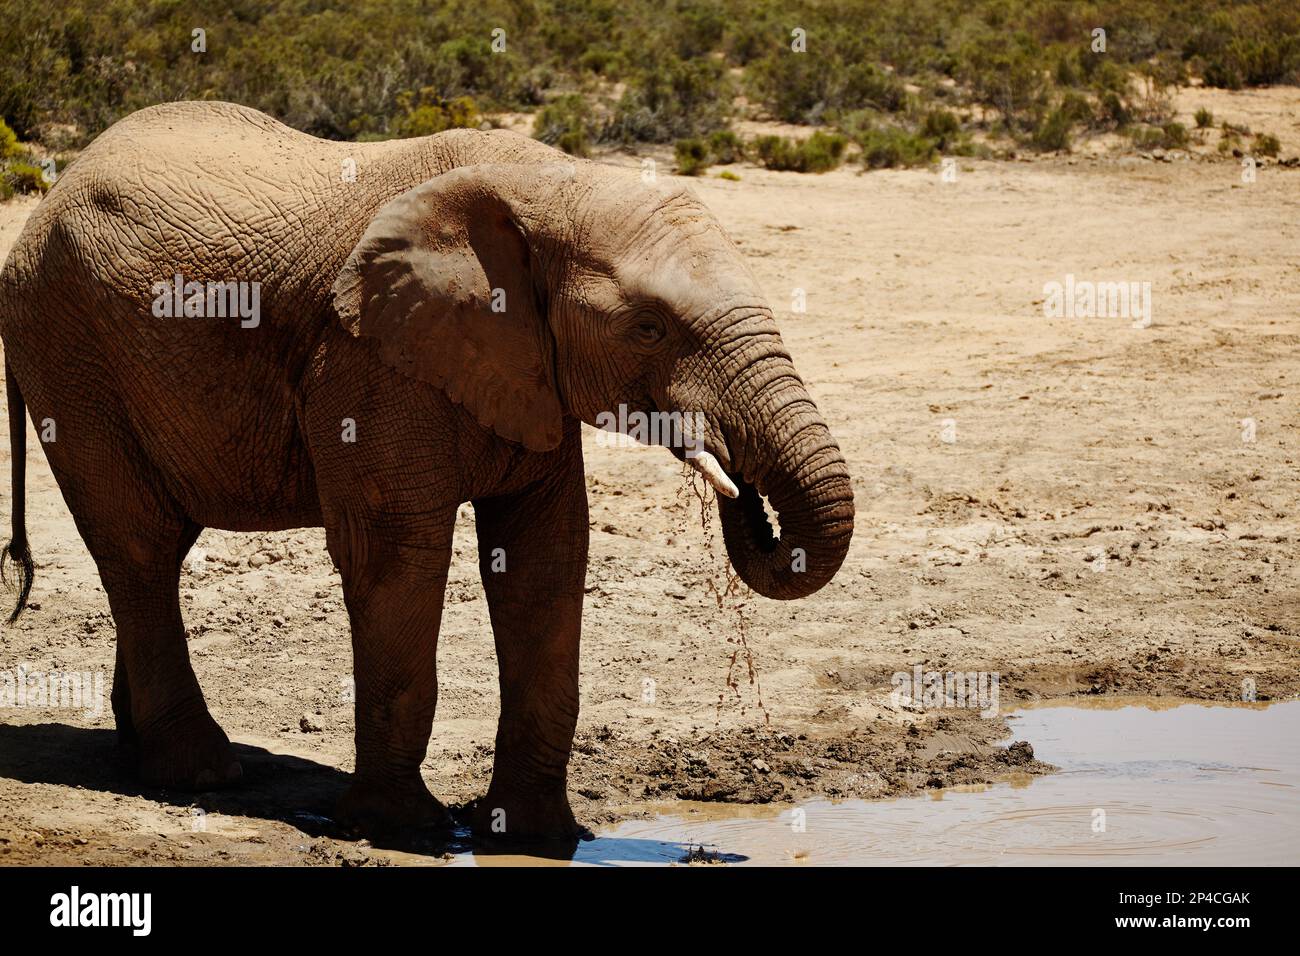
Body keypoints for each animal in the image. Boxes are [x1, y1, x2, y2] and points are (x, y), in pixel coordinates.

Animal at [0, 102, 854, 840]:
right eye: (649, 328)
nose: (742, 488)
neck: (551, 183)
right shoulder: (366, 357)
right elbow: (397, 556)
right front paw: (402, 830)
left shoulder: (525, 366)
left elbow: (545, 558)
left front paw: (537, 836)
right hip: (67, 350)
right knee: (138, 543)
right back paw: (200, 774)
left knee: (161, 545)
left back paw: (139, 754)